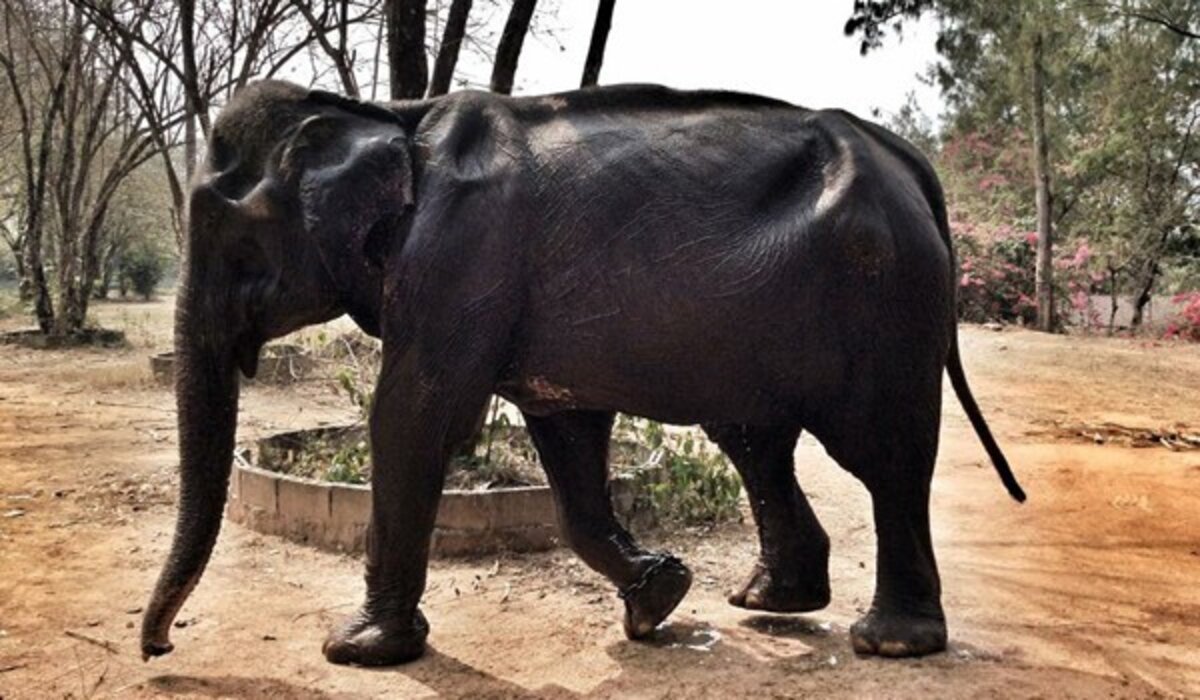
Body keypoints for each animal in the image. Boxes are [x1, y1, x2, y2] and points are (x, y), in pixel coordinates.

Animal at [141, 79, 1025, 667]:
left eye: (235, 242)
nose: (159, 651)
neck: (389, 113)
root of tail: (910, 163)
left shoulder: (458, 260)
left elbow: (412, 419)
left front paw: (355, 651)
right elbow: (565, 439)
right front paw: (659, 598)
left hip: (885, 294)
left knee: (882, 455)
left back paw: (891, 643)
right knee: (754, 440)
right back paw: (766, 602)